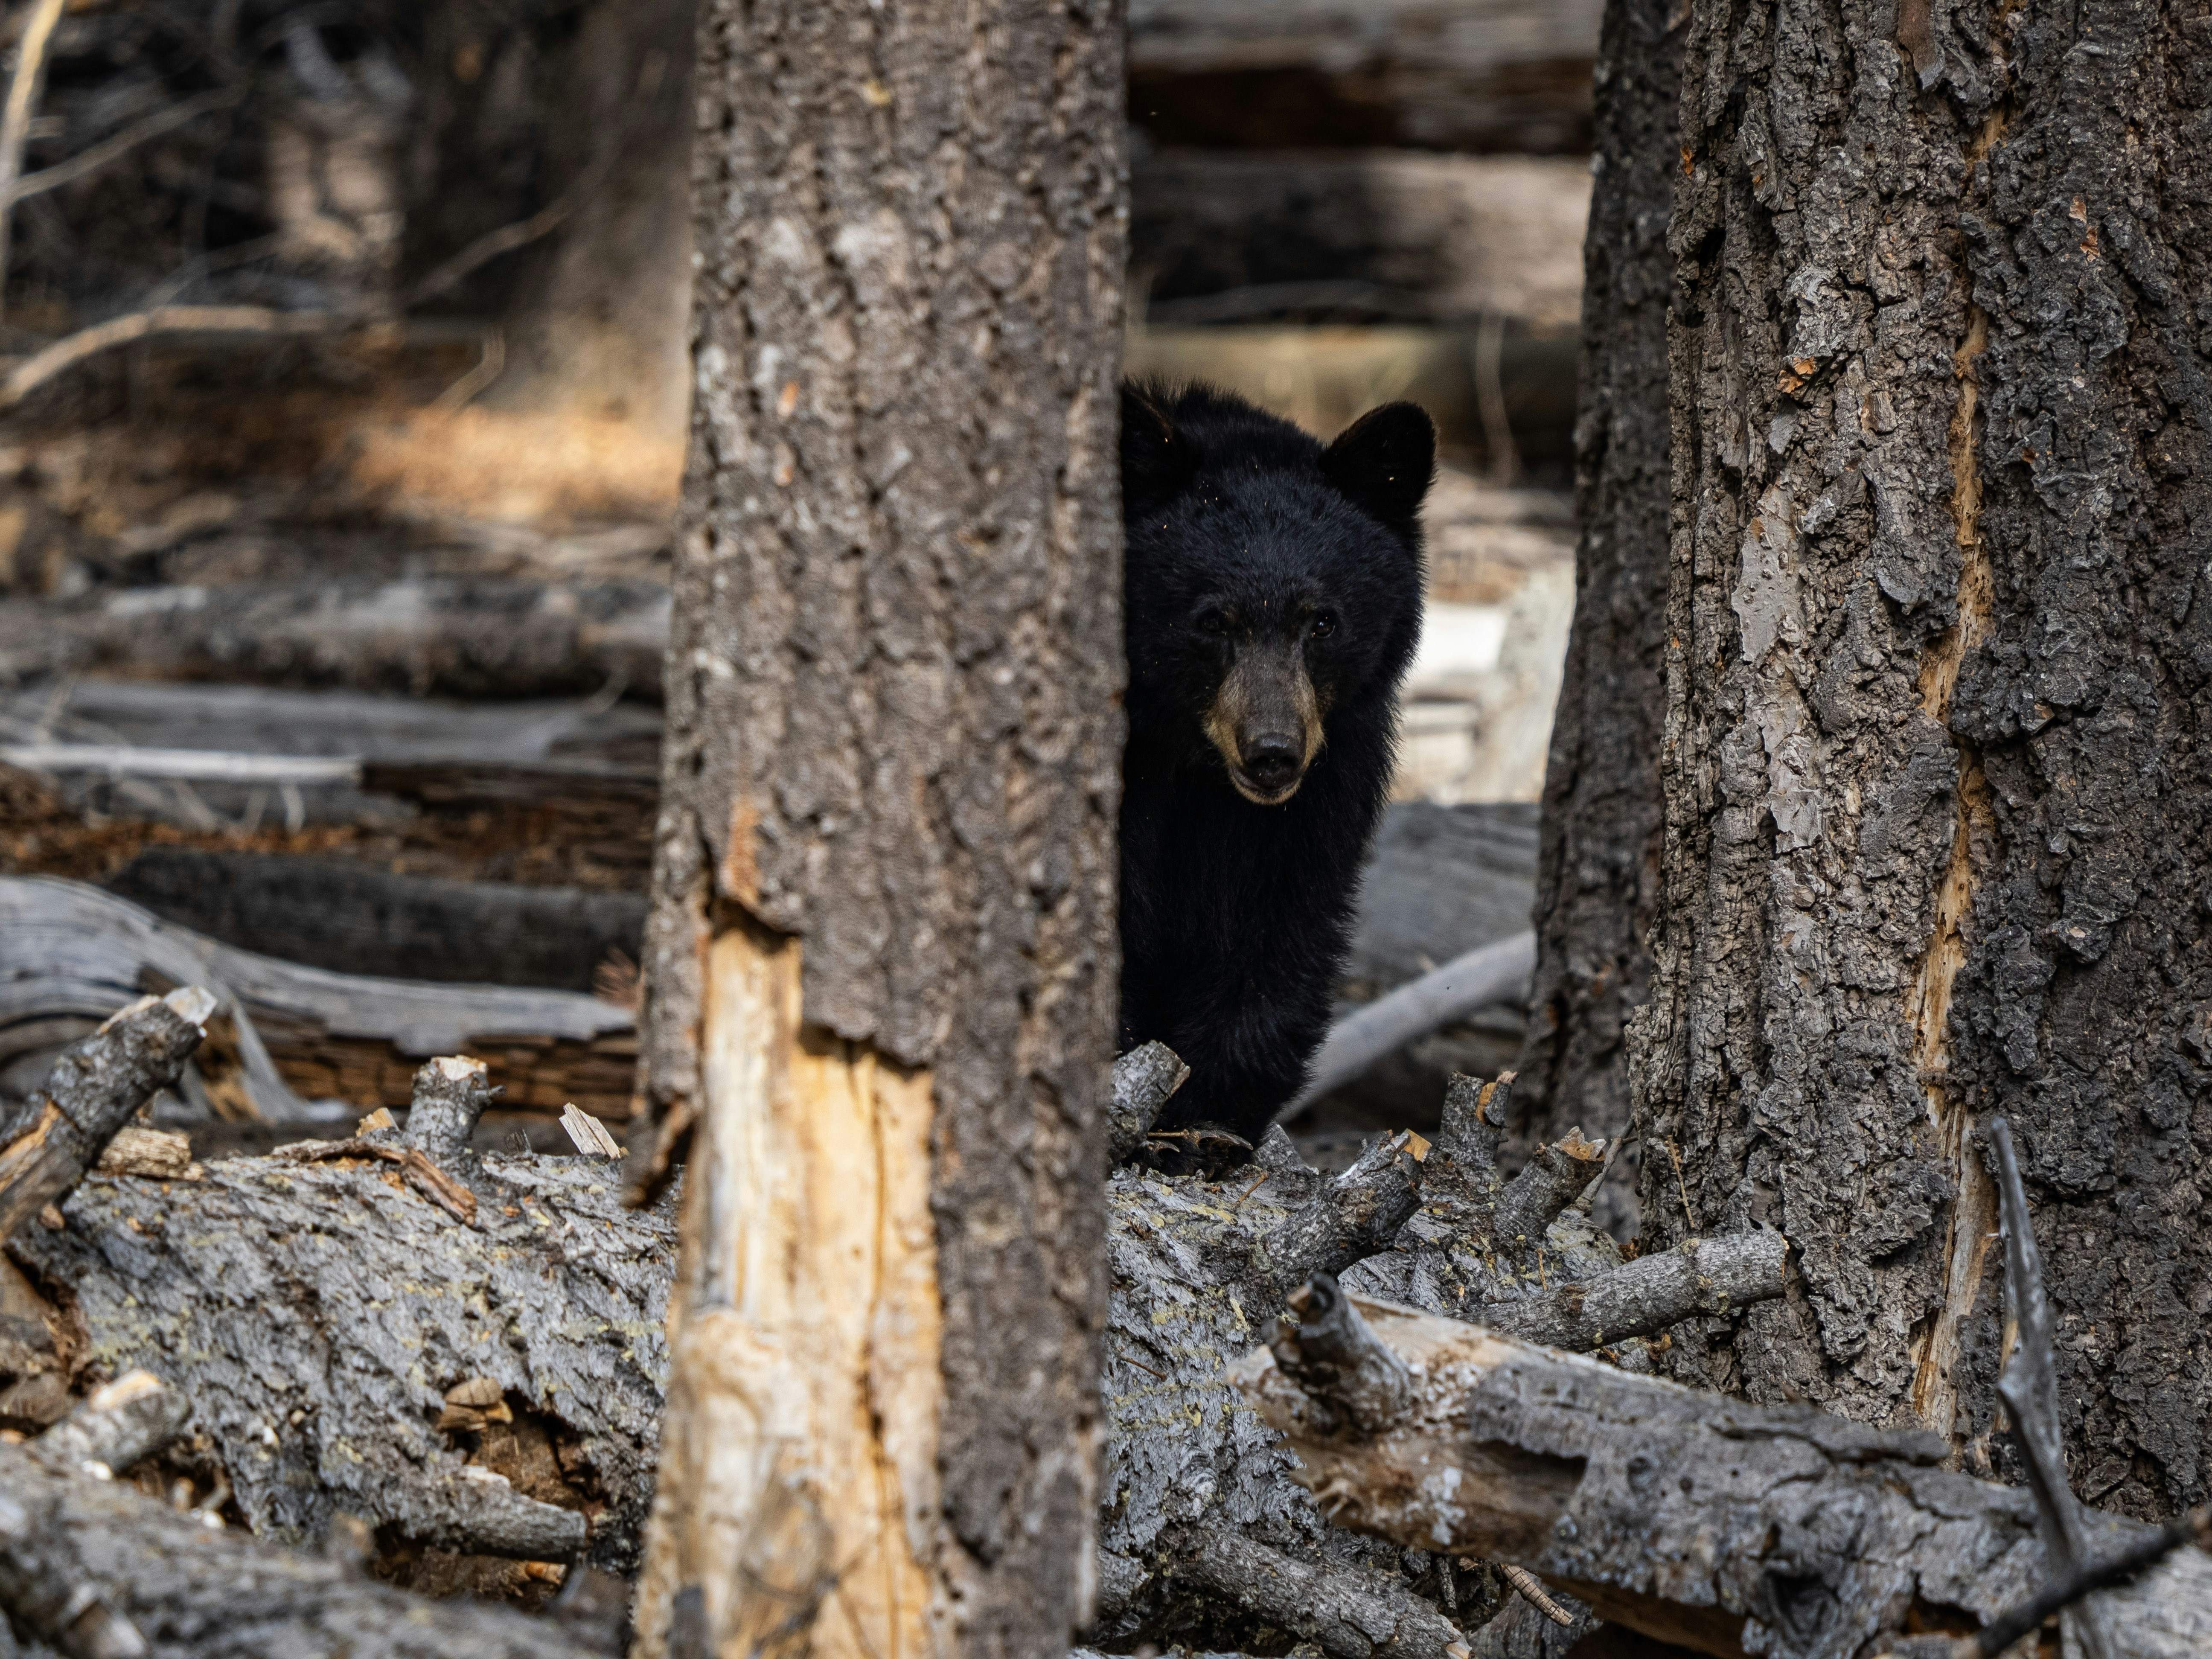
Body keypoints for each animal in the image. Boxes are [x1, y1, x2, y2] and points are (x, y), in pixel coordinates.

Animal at [1117, 380, 1434, 1145]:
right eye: (1212, 621)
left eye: (1321, 621)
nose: (1271, 753)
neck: (1193, 765)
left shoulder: (1326, 782)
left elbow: (1279, 923)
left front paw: (1207, 1121)